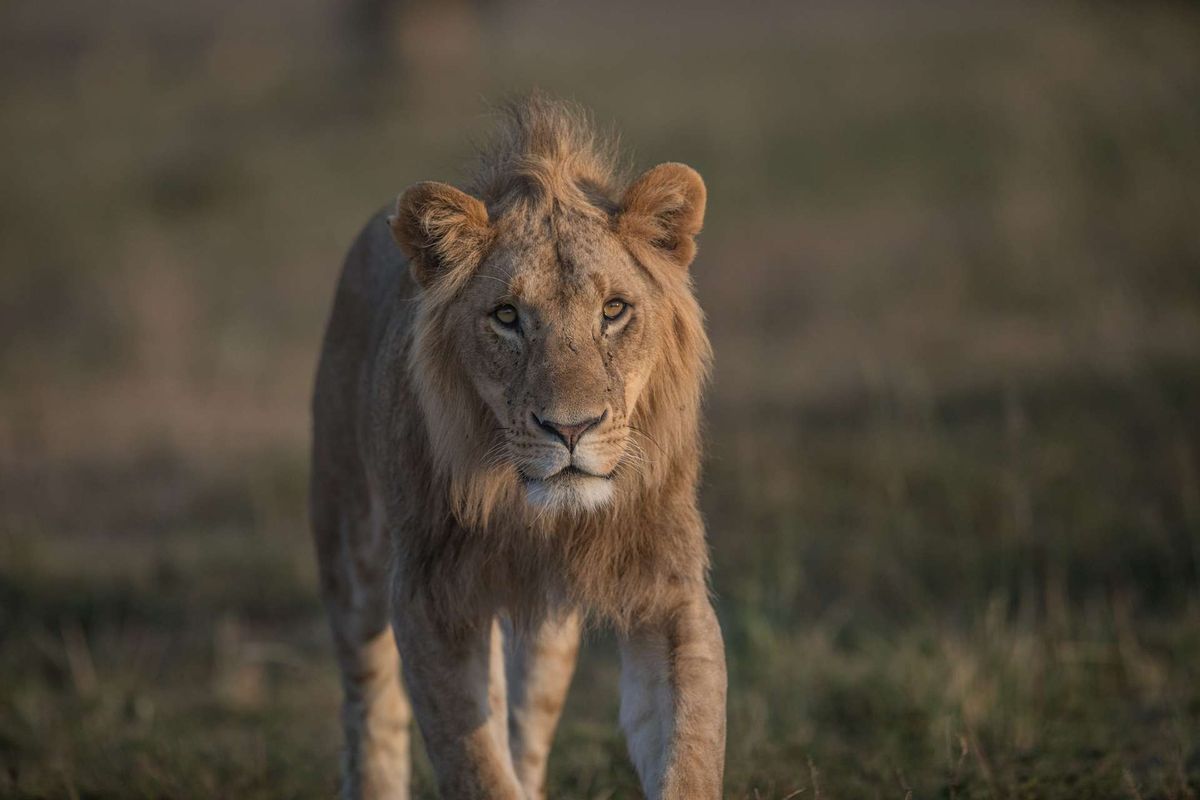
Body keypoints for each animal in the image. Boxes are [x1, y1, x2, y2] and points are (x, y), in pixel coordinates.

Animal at [310, 94, 725, 800]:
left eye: (614, 310)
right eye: (506, 316)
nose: (572, 428)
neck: (529, 515)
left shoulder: (667, 585)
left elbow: (690, 751)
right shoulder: (430, 599)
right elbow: (475, 765)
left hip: (548, 643)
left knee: (524, 731)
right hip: (350, 550)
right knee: (370, 707)